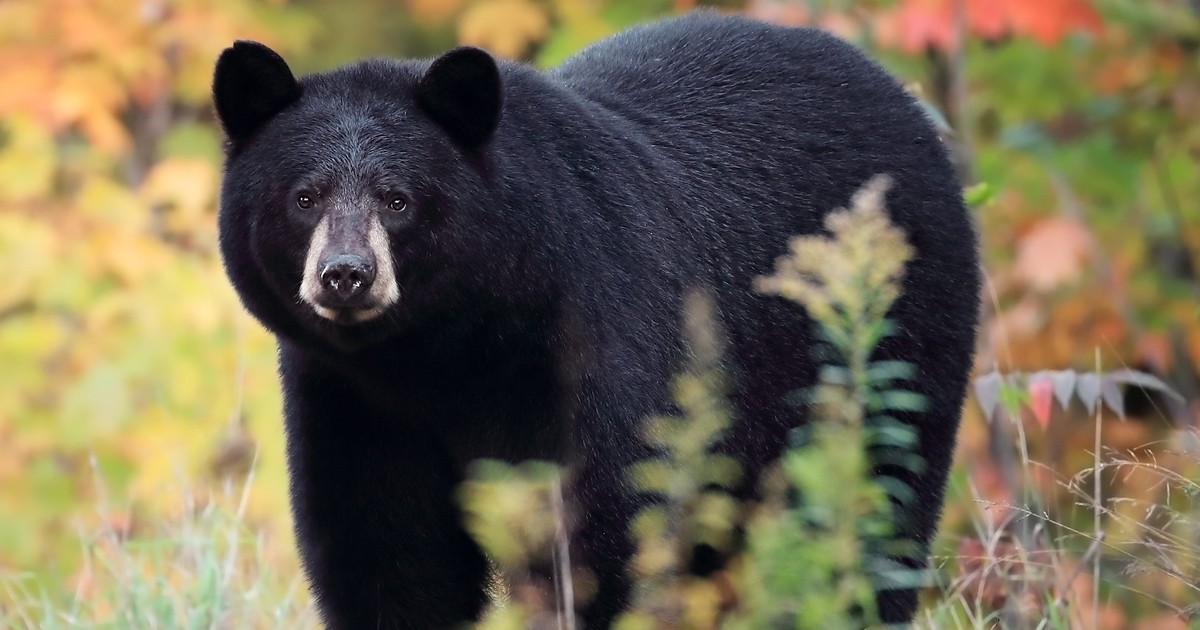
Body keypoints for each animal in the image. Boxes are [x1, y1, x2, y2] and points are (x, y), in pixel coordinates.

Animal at [212, 10, 980, 629]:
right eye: (305, 196)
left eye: (397, 199)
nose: (346, 274)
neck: (442, 350)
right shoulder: (352, 399)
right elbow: (385, 551)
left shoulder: (595, 338)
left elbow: (612, 530)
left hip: (889, 345)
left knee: (870, 509)